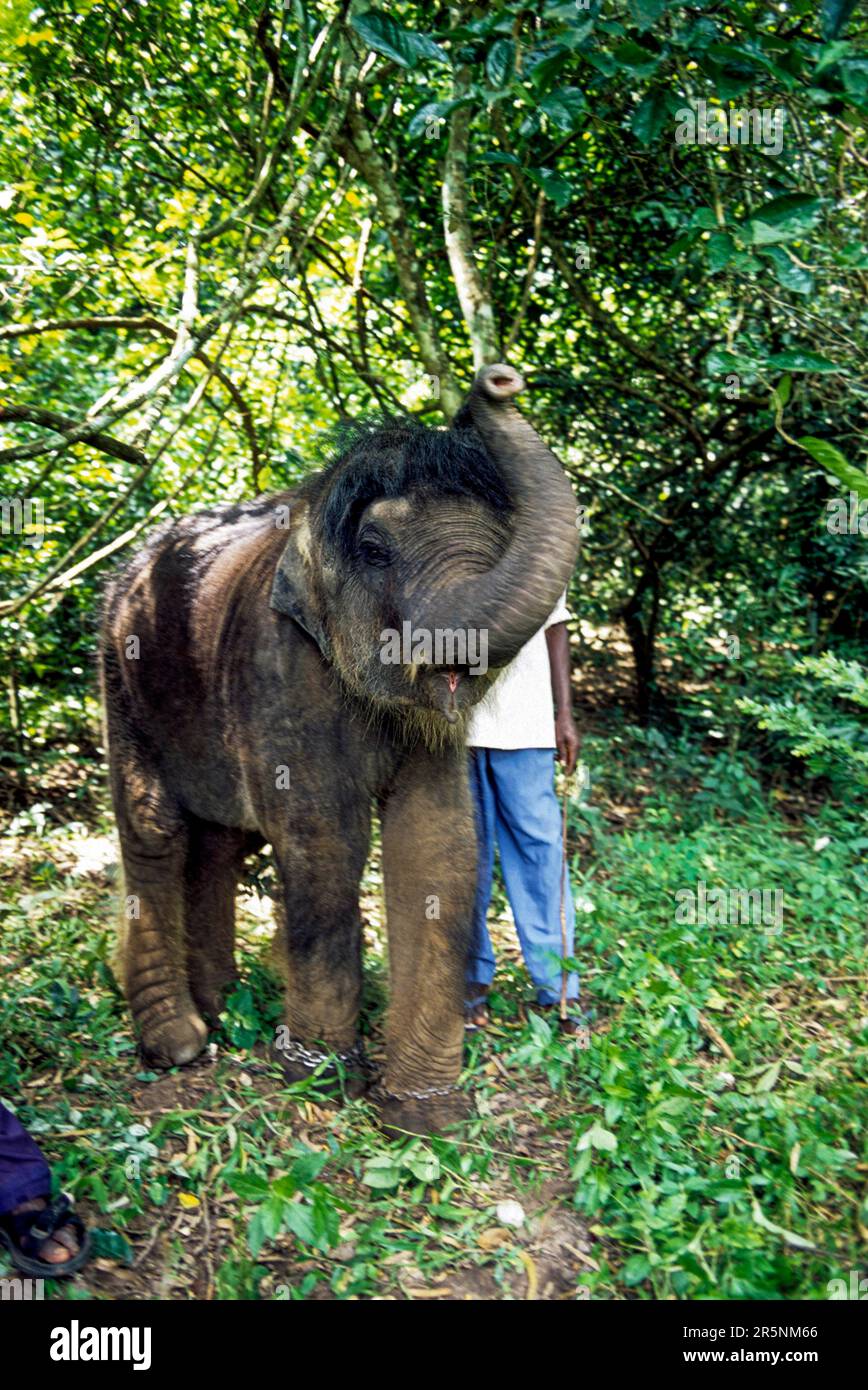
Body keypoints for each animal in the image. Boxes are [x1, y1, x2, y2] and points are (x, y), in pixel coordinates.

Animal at [99, 363, 578, 1133]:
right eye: (376, 551)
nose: (496, 381)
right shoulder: (279, 664)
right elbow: (326, 841)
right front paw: (319, 1077)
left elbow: (439, 842)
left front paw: (423, 1113)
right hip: (120, 677)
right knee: (155, 829)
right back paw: (178, 1043)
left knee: (221, 842)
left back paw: (227, 1008)